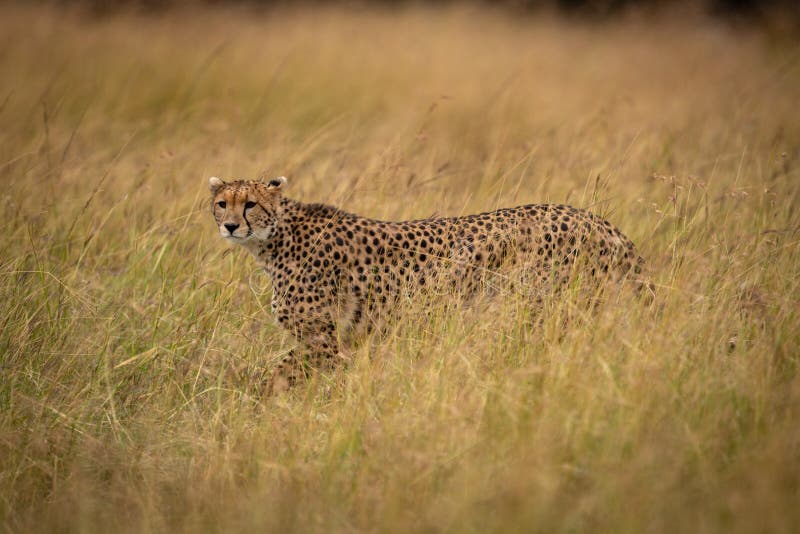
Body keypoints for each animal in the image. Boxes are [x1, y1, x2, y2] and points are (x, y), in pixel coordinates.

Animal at [208, 175, 651, 394]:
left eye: (249, 204)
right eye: (222, 203)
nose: (229, 225)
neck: (275, 237)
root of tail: (596, 220)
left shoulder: (325, 340)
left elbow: (278, 374)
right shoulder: (345, 340)